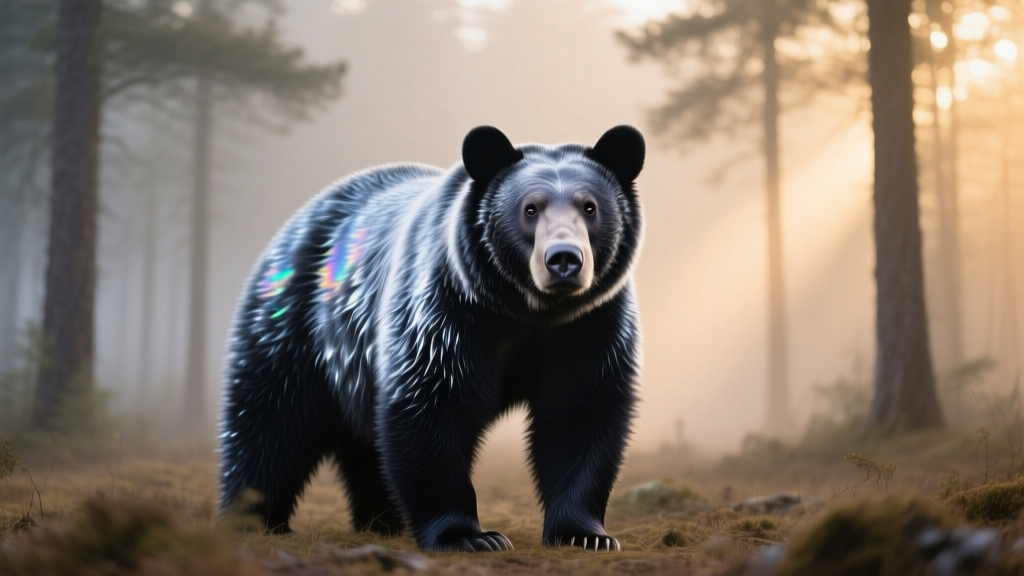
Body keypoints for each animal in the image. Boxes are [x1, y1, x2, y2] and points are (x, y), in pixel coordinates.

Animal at [218, 125, 645, 552]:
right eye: (530, 208)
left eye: (589, 207)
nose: (564, 259)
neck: (527, 311)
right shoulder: (444, 312)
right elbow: (430, 405)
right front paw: (471, 536)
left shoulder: (591, 325)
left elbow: (580, 413)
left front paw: (584, 534)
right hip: (295, 323)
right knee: (269, 420)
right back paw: (250, 517)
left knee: (364, 445)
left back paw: (381, 521)